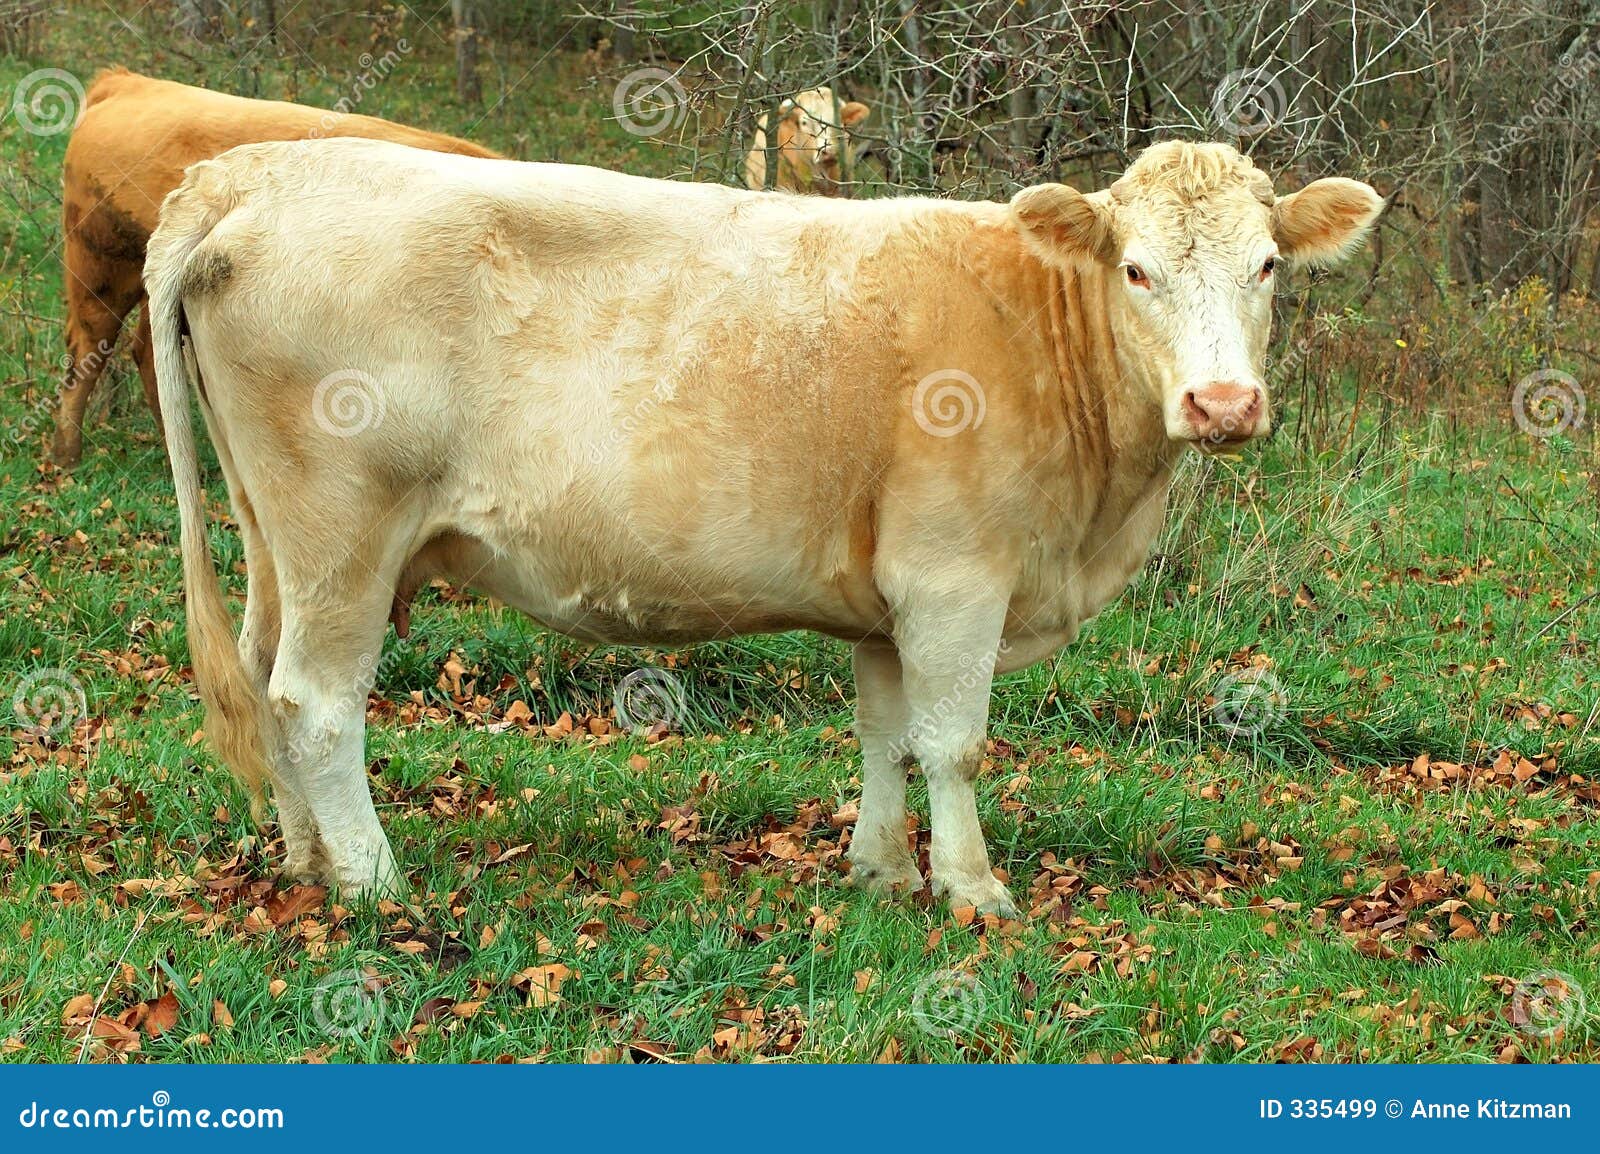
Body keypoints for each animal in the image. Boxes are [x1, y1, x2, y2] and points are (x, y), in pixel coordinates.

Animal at [146, 138, 1381, 916]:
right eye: (1135, 270)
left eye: (1268, 265)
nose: (1222, 404)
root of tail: (252, 167)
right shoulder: (955, 577)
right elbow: (955, 741)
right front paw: (973, 890)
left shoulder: (891, 598)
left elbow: (886, 734)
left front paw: (883, 874)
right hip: (342, 534)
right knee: (315, 700)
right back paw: (372, 878)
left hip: (277, 538)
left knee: (259, 672)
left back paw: (305, 860)